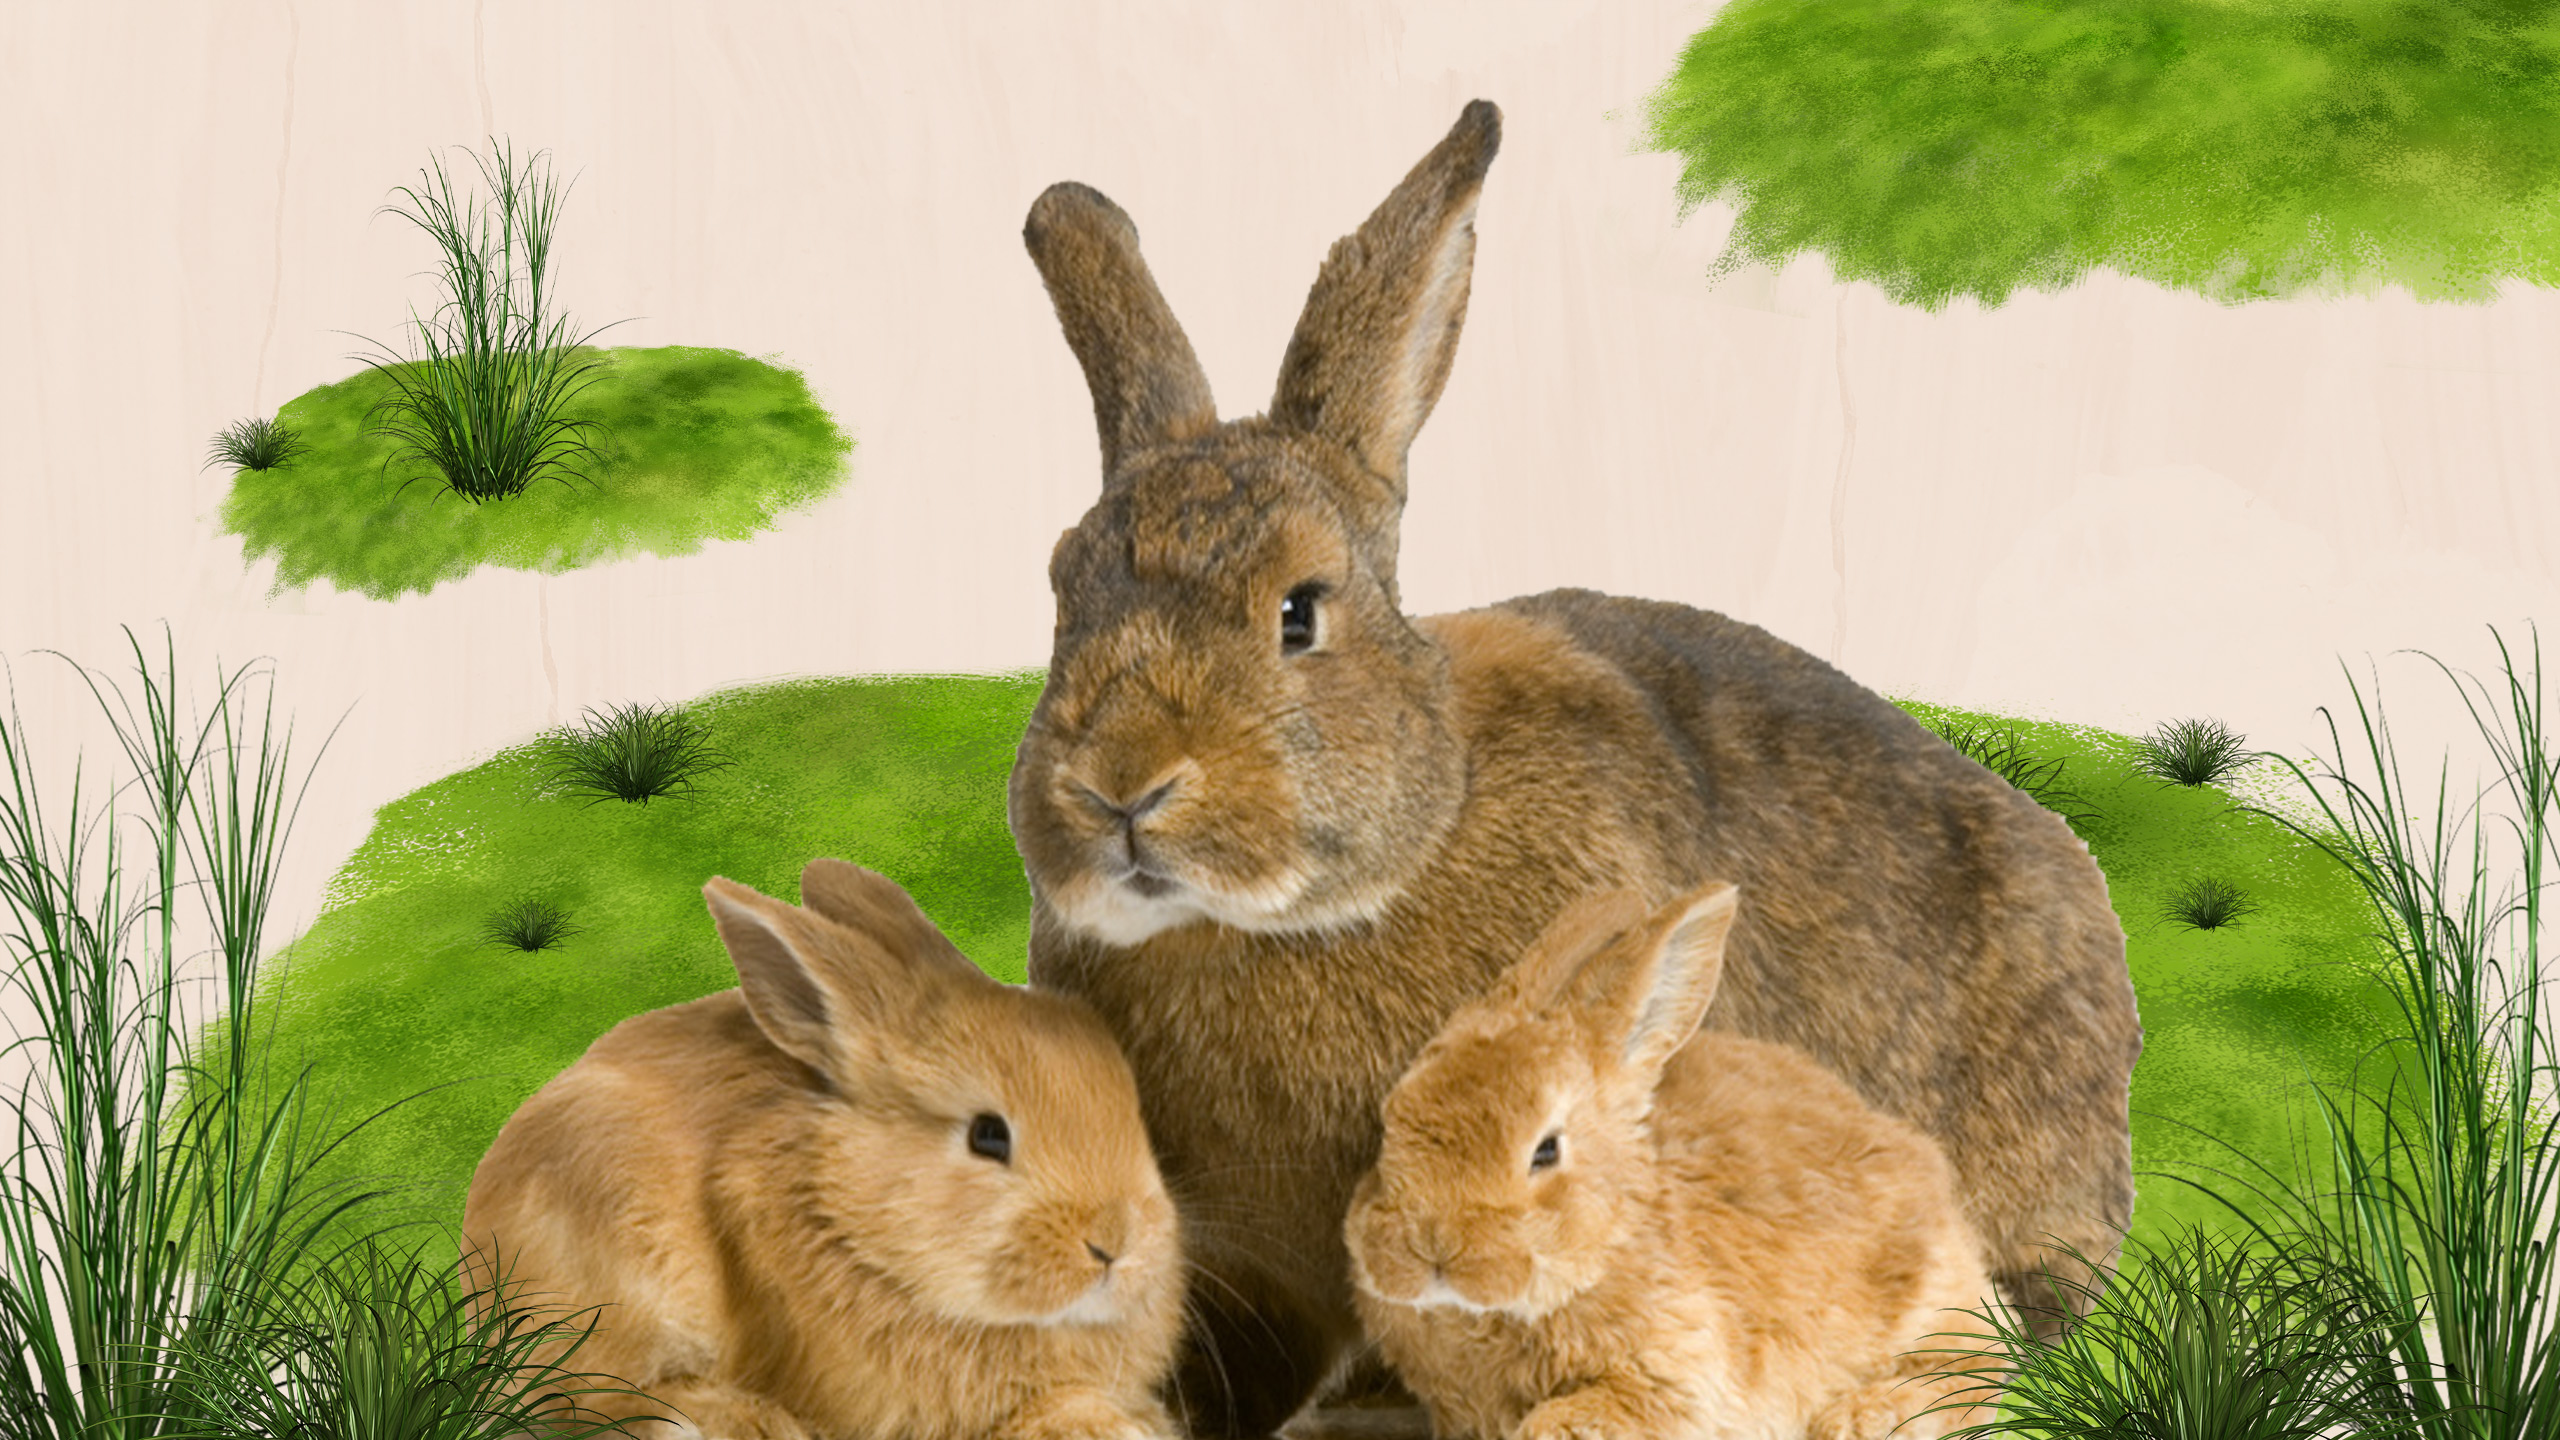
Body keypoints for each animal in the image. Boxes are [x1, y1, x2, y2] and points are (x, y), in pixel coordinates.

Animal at [1346, 882, 2000, 1440]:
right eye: (1391, 1119)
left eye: (1545, 1150)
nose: (1428, 1250)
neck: (1613, 1242)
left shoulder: (1674, 1384)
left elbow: (1563, 1422)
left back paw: (1861, 1416)